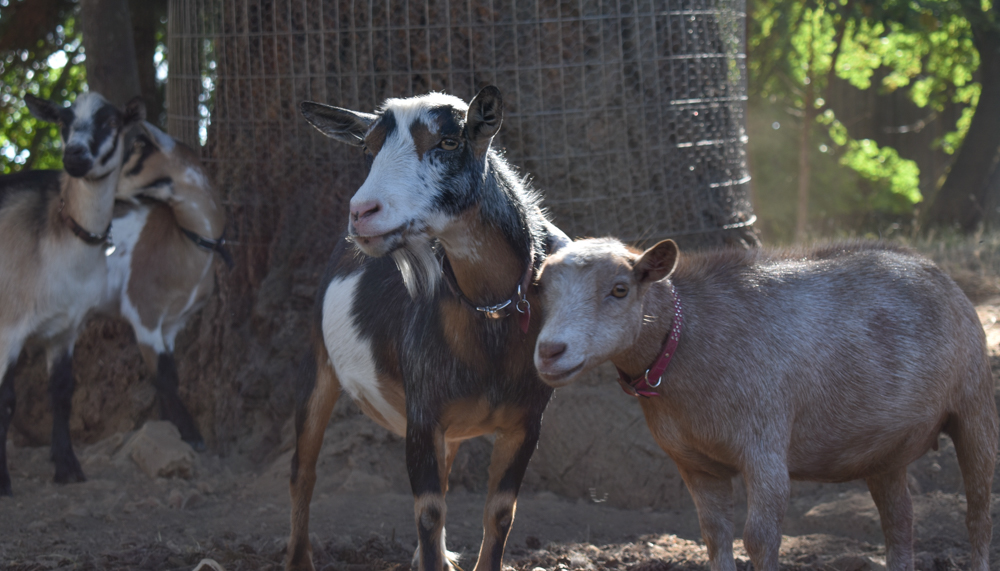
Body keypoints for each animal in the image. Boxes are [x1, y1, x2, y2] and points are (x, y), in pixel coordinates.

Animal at [0, 92, 143, 495]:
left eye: (111, 122)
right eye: (63, 122)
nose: (75, 154)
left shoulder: (67, 327)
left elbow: (62, 393)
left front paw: (68, 468)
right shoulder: (9, 327)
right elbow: (6, 401)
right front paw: (3, 482)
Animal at [96, 120, 230, 450]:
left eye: (135, 154)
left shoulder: (172, 324)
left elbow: (170, 372)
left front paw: (171, 427)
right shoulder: (143, 313)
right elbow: (163, 378)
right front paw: (191, 436)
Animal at [289, 86, 568, 571]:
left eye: (450, 142)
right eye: (368, 148)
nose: (362, 212)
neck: (490, 315)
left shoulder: (526, 420)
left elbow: (500, 512)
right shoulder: (422, 413)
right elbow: (430, 511)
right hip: (318, 362)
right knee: (302, 469)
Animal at [533, 238, 997, 571]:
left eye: (620, 289)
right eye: (541, 290)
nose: (550, 351)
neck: (687, 342)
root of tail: (938, 273)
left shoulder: (765, 446)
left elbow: (758, 538)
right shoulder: (694, 463)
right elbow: (714, 535)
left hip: (974, 407)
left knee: (978, 514)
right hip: (885, 452)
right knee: (900, 522)